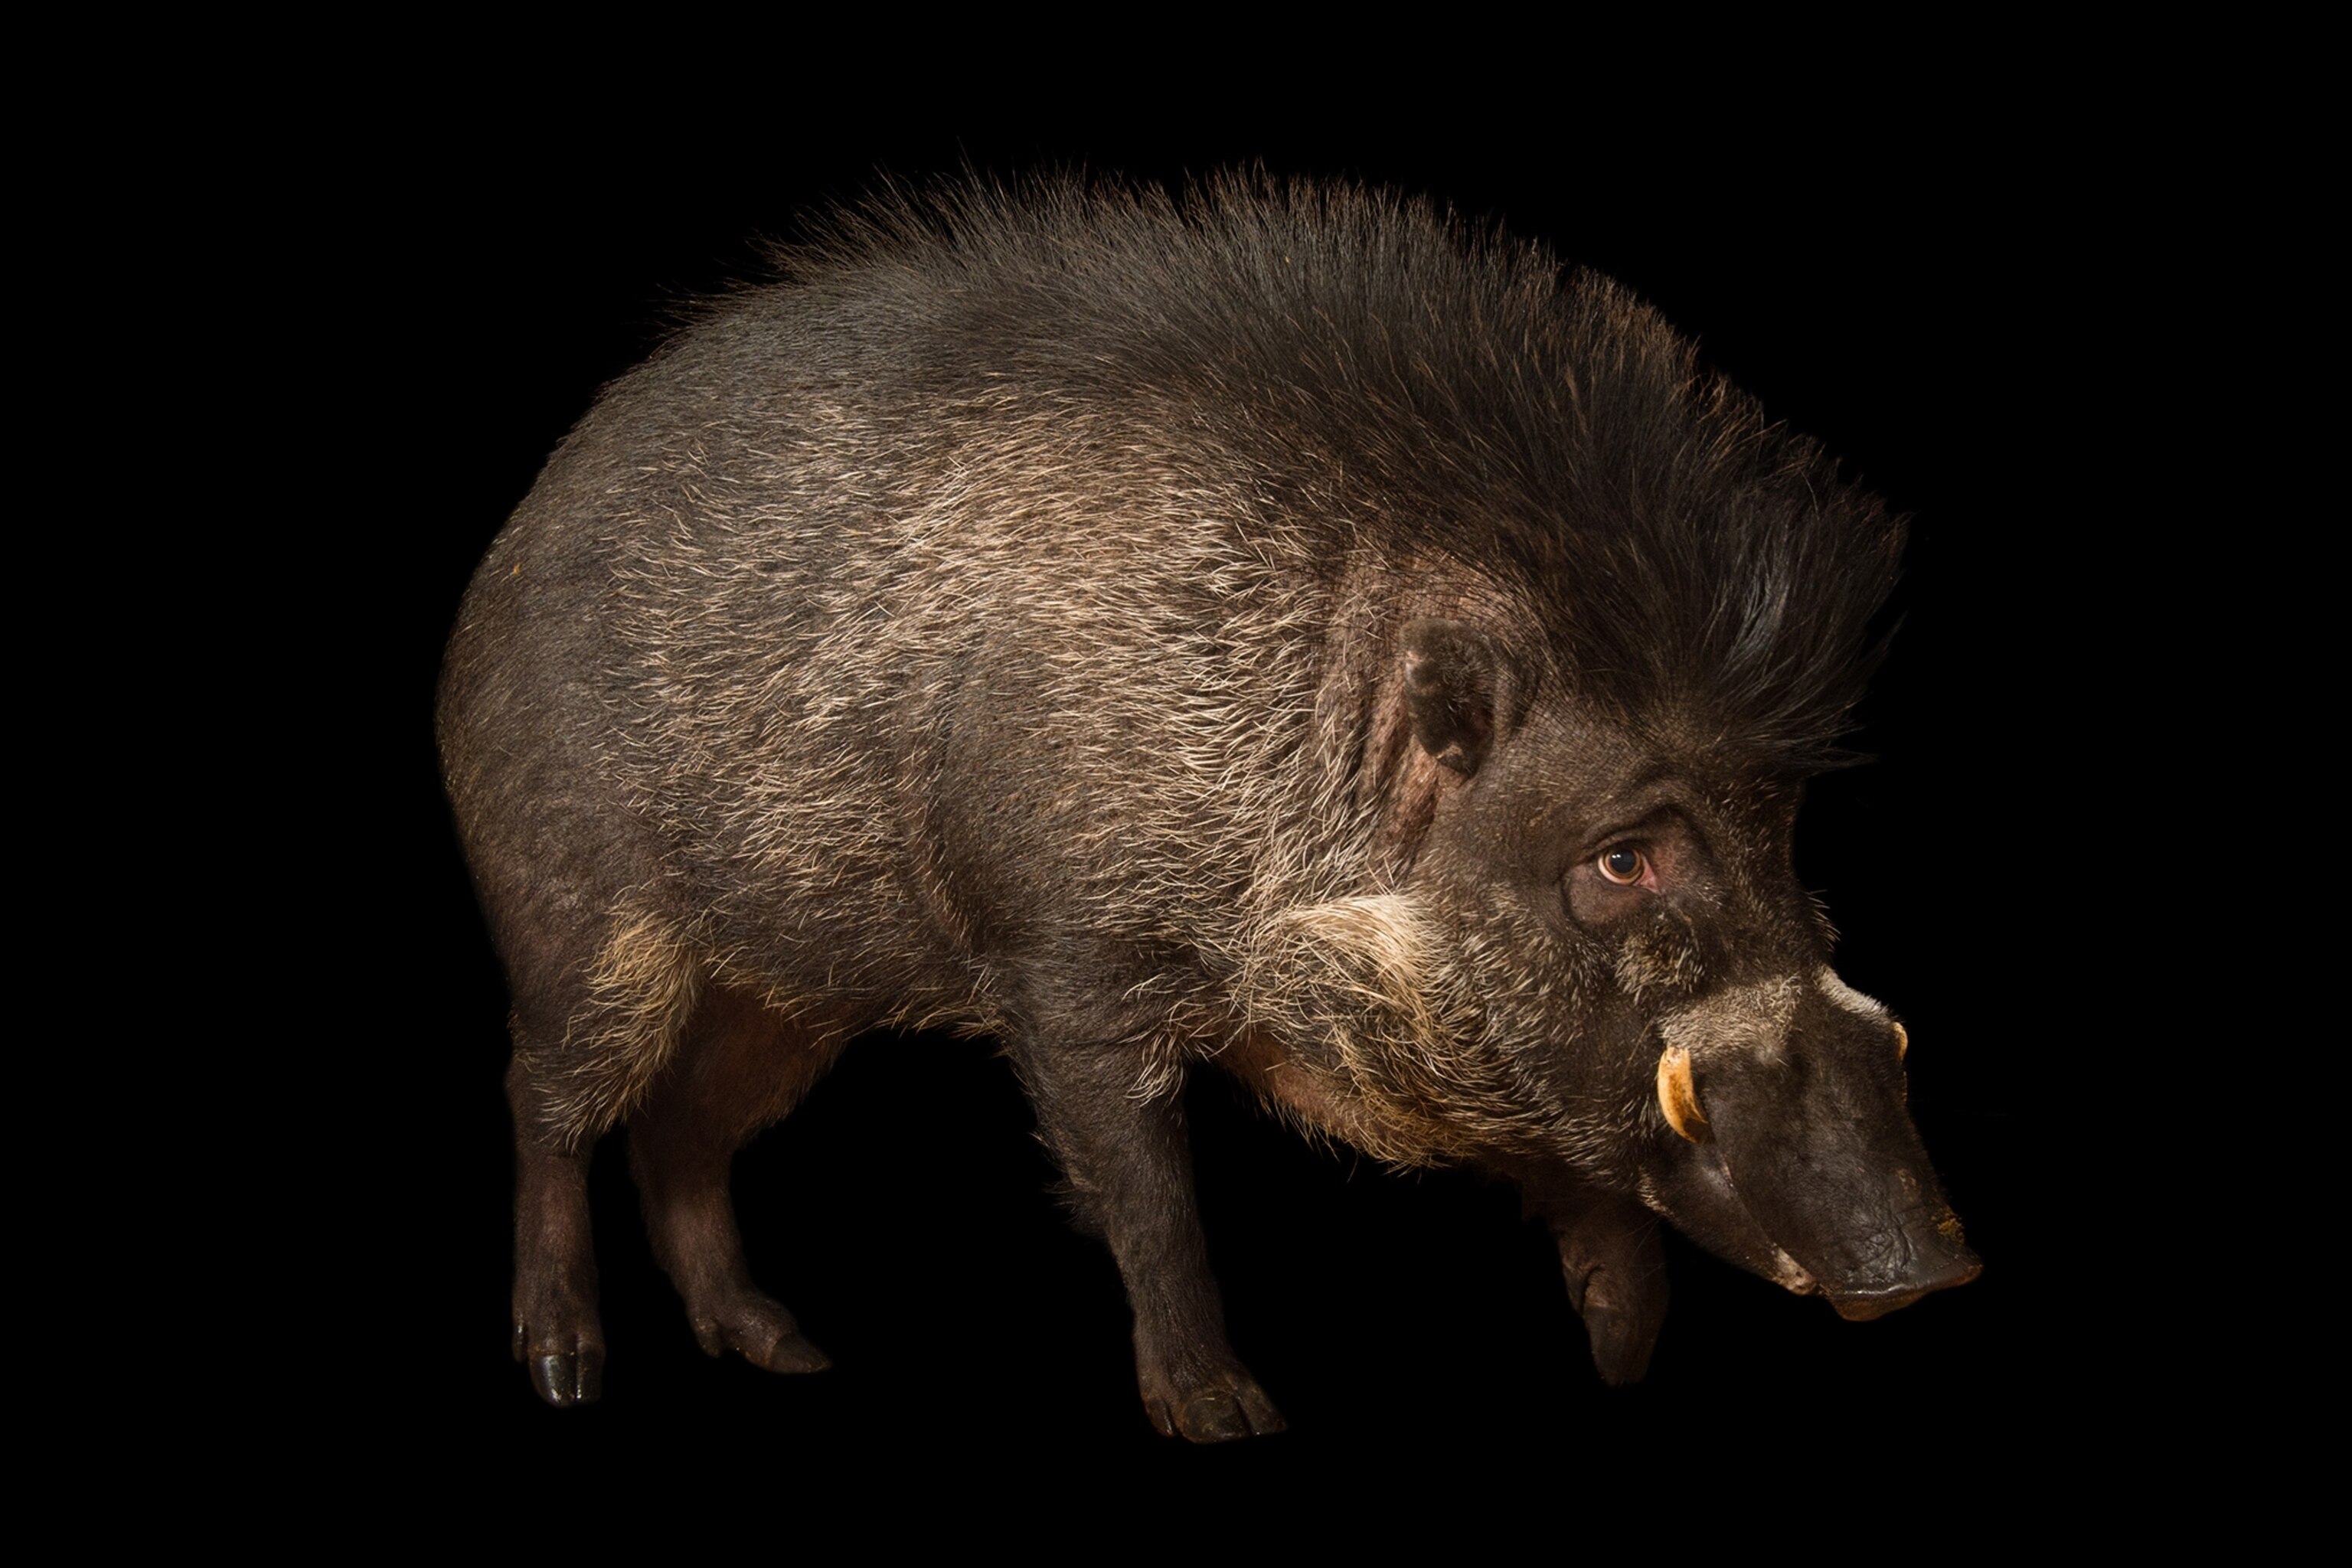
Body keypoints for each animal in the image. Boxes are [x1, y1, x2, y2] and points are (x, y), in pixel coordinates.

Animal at [438, 174, 1978, 1442]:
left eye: (1781, 829)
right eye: (1618, 858)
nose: (1931, 1268)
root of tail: (497, 570)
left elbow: (1566, 1169)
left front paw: (1619, 1363)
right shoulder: (1062, 959)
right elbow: (1148, 1190)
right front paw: (1225, 1418)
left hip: (786, 993)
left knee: (682, 1134)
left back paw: (786, 1352)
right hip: (583, 923)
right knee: (547, 1101)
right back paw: (567, 1369)